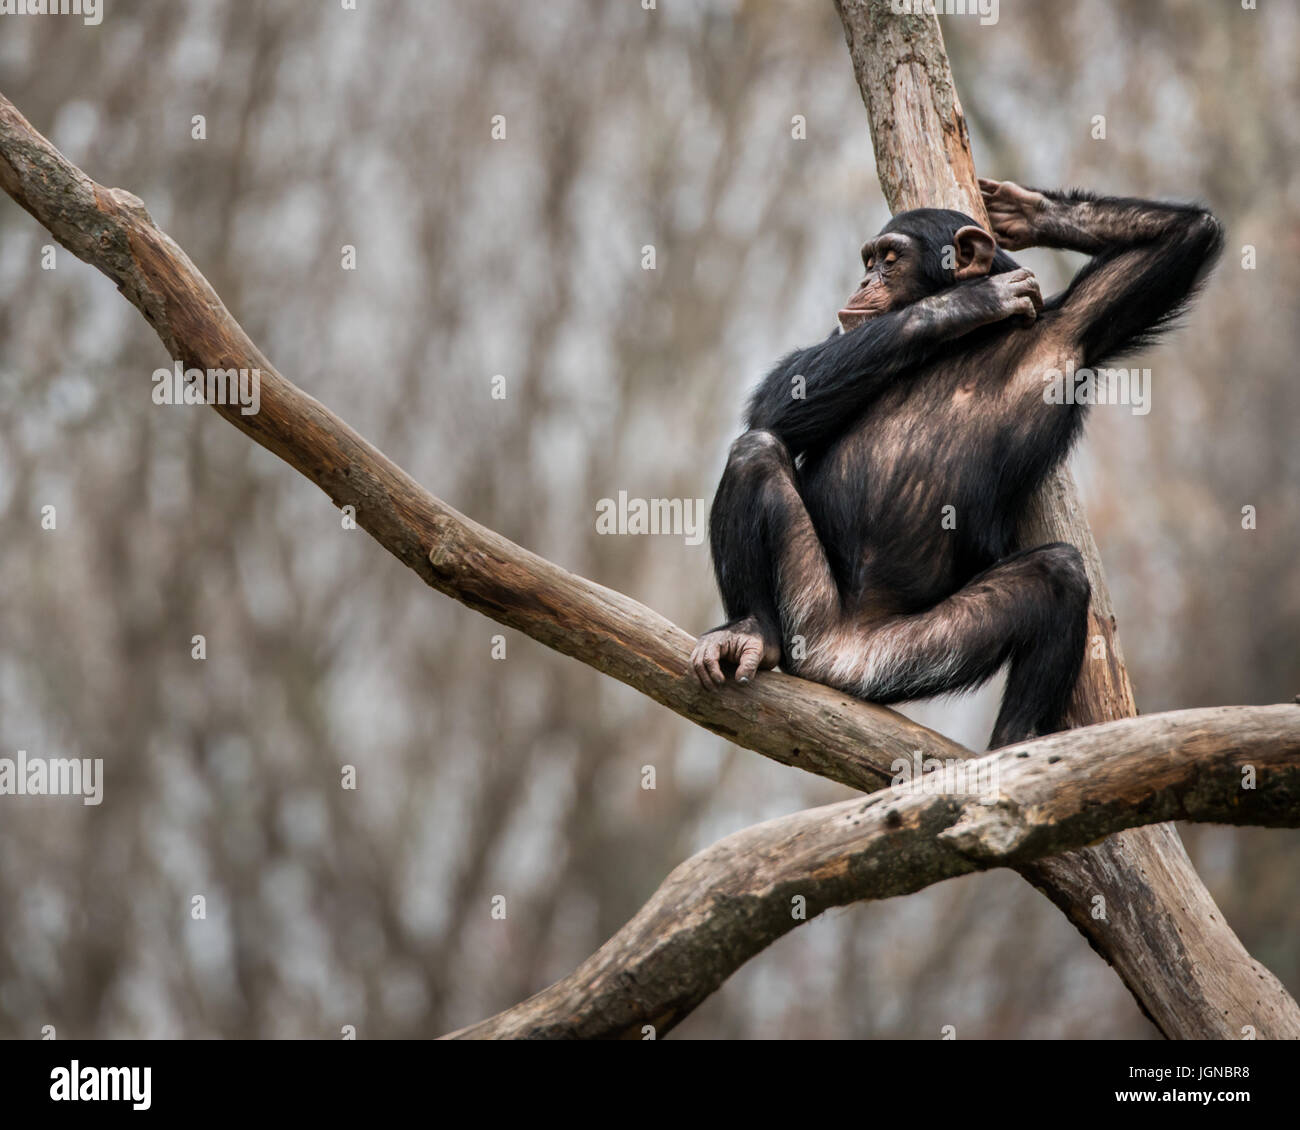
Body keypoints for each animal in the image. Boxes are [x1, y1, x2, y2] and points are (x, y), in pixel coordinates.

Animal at [692, 179, 1223, 748]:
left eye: (889, 259)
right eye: (869, 260)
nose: (863, 280)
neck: (966, 344)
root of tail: (840, 654)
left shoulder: (1075, 327)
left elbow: (1184, 238)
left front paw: (1030, 212)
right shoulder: (846, 336)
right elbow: (780, 396)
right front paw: (965, 302)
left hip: (913, 654)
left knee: (1057, 574)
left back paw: (1015, 743)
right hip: (809, 610)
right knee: (755, 452)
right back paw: (751, 632)